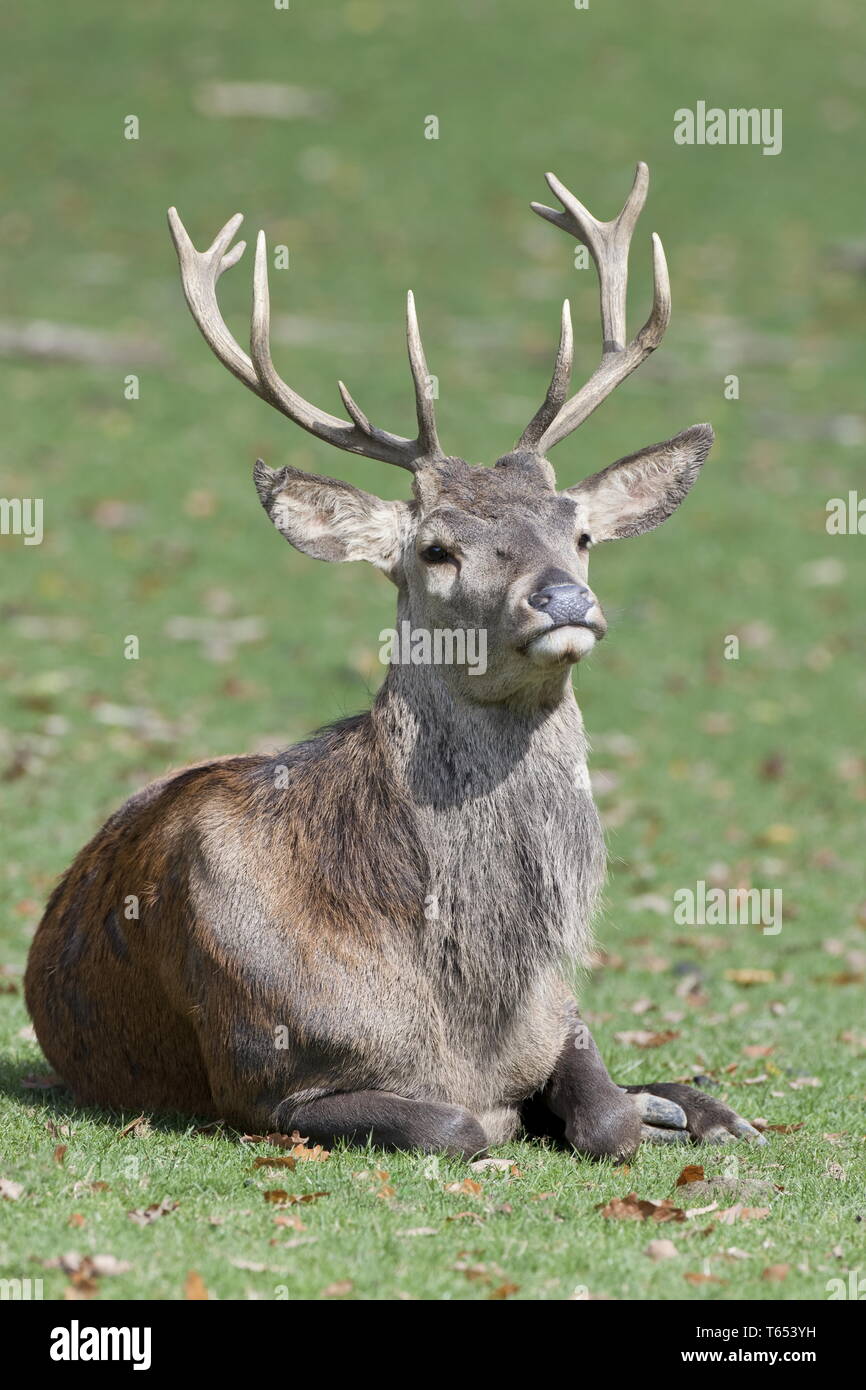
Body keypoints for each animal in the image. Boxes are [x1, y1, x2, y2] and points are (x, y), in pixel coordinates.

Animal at [25, 163, 764, 1160]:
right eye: (436, 550)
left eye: (579, 531)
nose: (565, 601)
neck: (460, 1007)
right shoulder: (261, 1075)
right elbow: (457, 1123)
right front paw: (509, 1115)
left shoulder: (560, 1009)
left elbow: (606, 1115)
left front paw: (649, 1106)